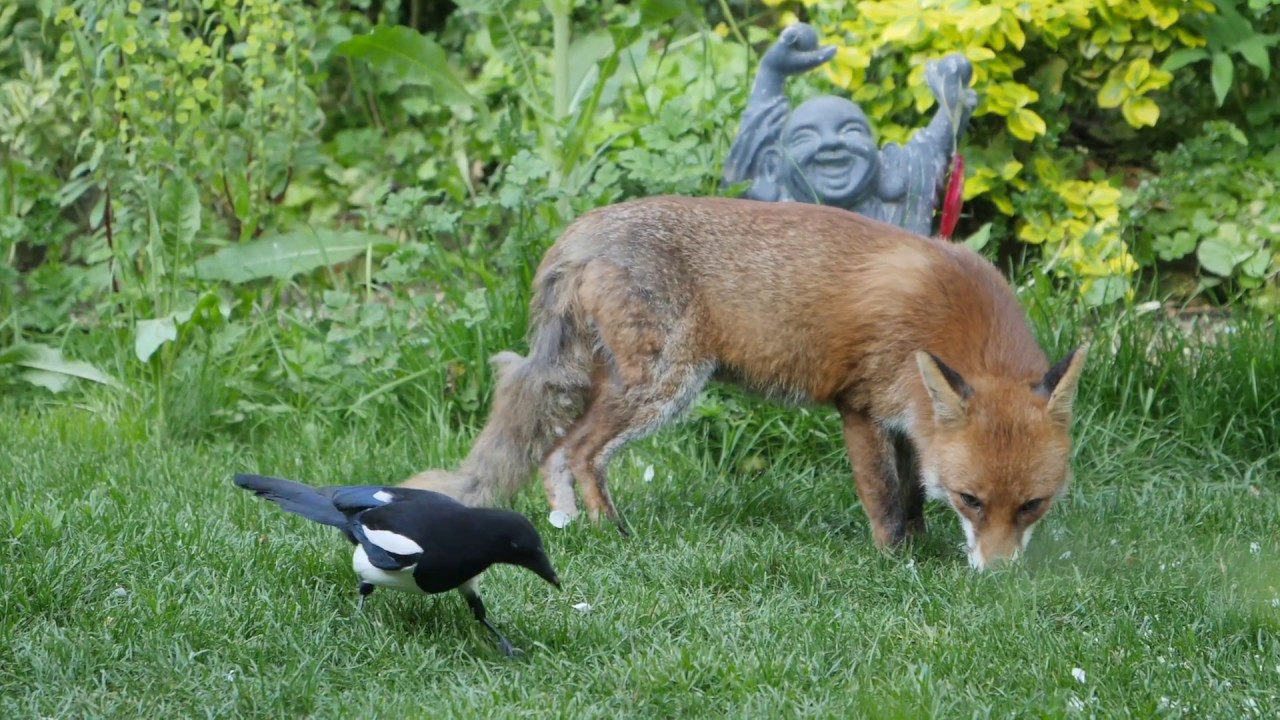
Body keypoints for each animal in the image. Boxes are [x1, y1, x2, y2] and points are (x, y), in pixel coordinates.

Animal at [400, 195, 1089, 570]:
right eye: (973, 501)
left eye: (1032, 505)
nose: (997, 576)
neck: (948, 314)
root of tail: (580, 229)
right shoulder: (861, 407)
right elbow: (884, 502)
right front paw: (896, 565)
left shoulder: (913, 421)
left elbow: (915, 491)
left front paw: (922, 545)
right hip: (664, 385)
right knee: (578, 451)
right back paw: (611, 535)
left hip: (623, 380)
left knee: (552, 453)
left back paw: (566, 527)